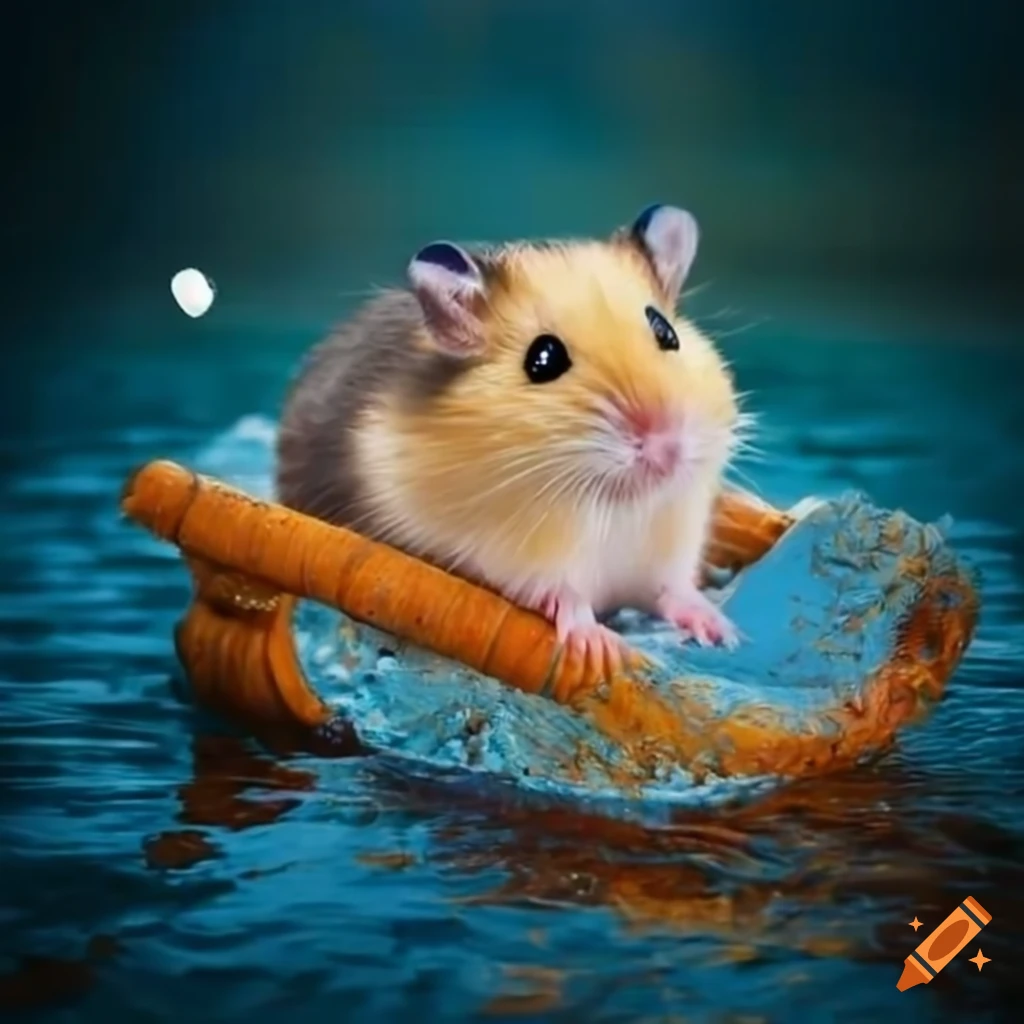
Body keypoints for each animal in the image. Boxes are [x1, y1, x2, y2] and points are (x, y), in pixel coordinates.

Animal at [276, 204, 745, 670]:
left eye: (666, 332)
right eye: (543, 358)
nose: (667, 448)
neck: (614, 506)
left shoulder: (673, 539)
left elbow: (674, 588)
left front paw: (727, 634)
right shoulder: (509, 555)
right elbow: (565, 595)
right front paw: (601, 651)